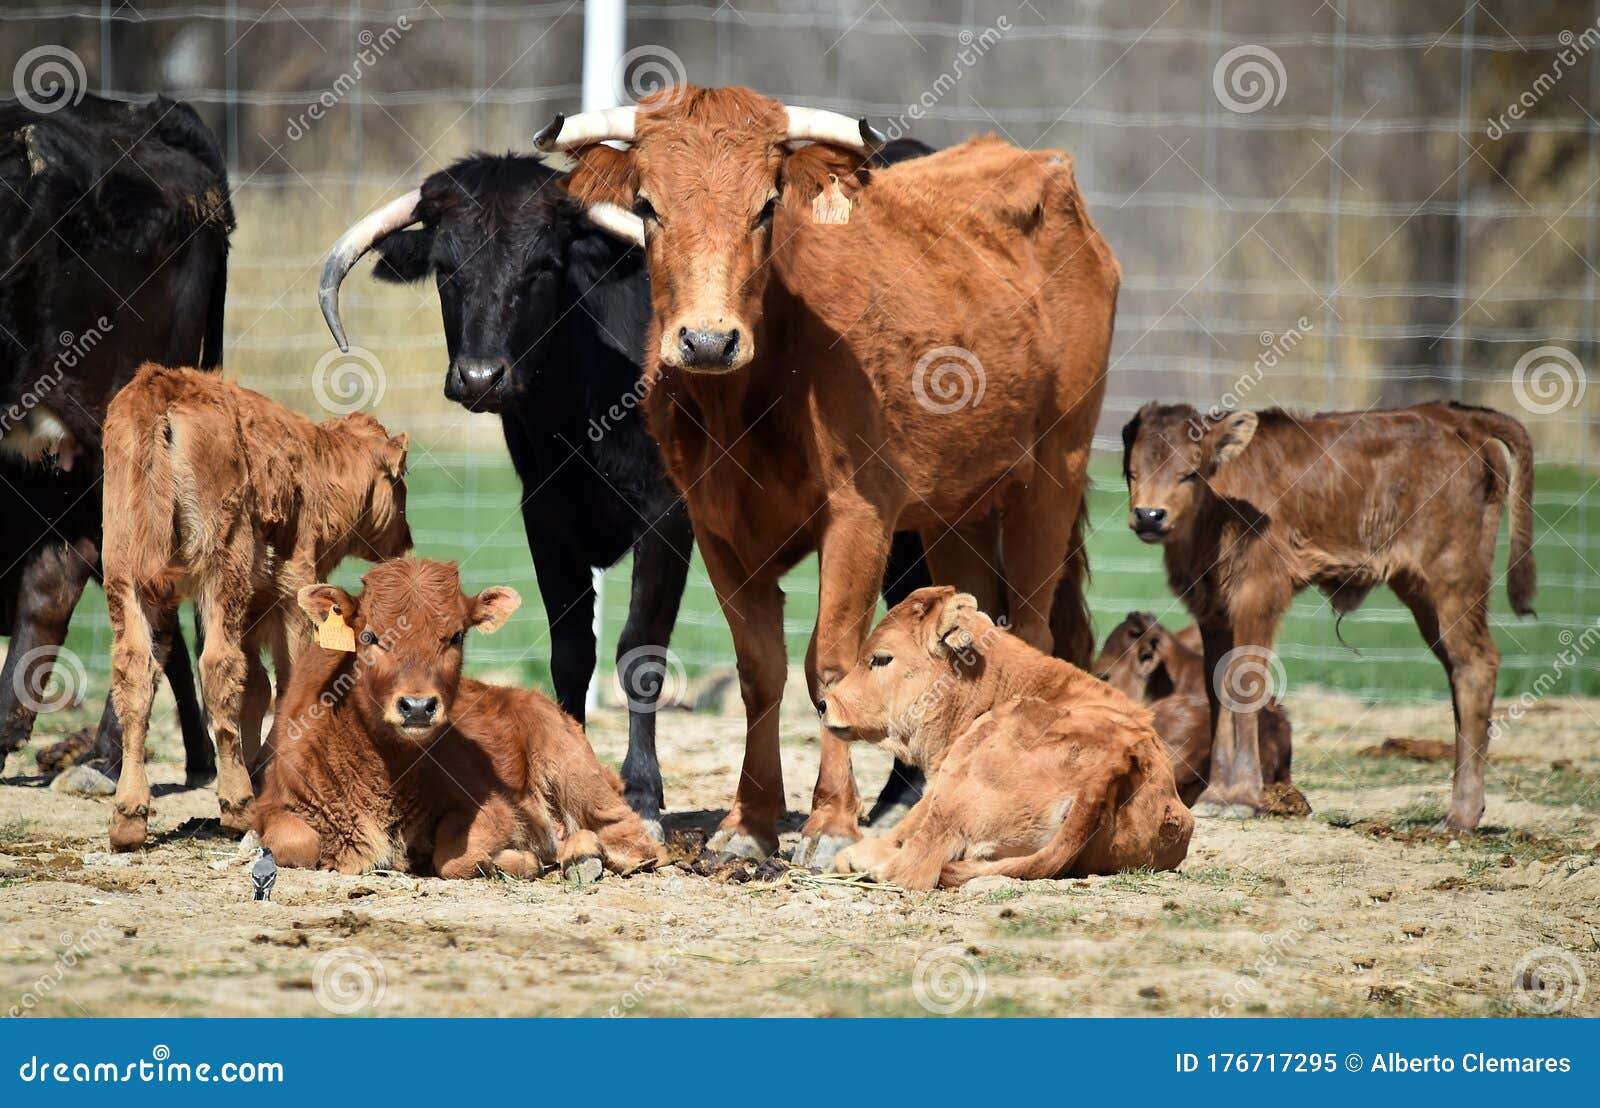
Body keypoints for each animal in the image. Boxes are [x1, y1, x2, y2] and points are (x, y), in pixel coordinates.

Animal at [101, 364, 411, 850]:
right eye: (402, 482)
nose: (408, 540)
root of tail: (161, 387)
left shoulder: (253, 609)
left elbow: (257, 689)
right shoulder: (296, 587)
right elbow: (288, 680)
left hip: (126, 576)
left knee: (134, 672)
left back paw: (129, 816)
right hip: (220, 566)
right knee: (216, 666)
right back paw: (237, 804)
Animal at [256, 558, 664, 878]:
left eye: (456, 637)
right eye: (369, 636)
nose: (417, 706)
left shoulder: (491, 808)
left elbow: (454, 857)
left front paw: (518, 860)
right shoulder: (276, 803)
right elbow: (293, 842)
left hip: (575, 771)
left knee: (632, 837)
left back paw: (586, 856)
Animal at [314, 140, 939, 839]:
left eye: (543, 266)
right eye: (447, 268)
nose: (479, 378)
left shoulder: (666, 516)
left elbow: (638, 649)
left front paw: (642, 795)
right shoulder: (545, 517)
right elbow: (571, 653)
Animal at [537, 86, 1119, 866]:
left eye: (766, 207)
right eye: (649, 206)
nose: (707, 341)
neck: (747, 401)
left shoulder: (860, 517)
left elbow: (834, 665)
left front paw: (828, 824)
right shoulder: (715, 529)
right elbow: (761, 668)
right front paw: (748, 825)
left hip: (1053, 474)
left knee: (1030, 630)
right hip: (958, 513)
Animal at [1121, 400, 1536, 831]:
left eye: (1191, 473)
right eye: (1131, 471)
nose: (1149, 515)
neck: (1221, 502)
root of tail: (1453, 416)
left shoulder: (1258, 597)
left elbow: (1244, 684)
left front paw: (1242, 797)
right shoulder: (1215, 612)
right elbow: (1218, 690)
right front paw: (1216, 795)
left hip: (1452, 583)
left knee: (1476, 665)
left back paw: (1460, 817)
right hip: (1425, 598)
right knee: (1459, 670)